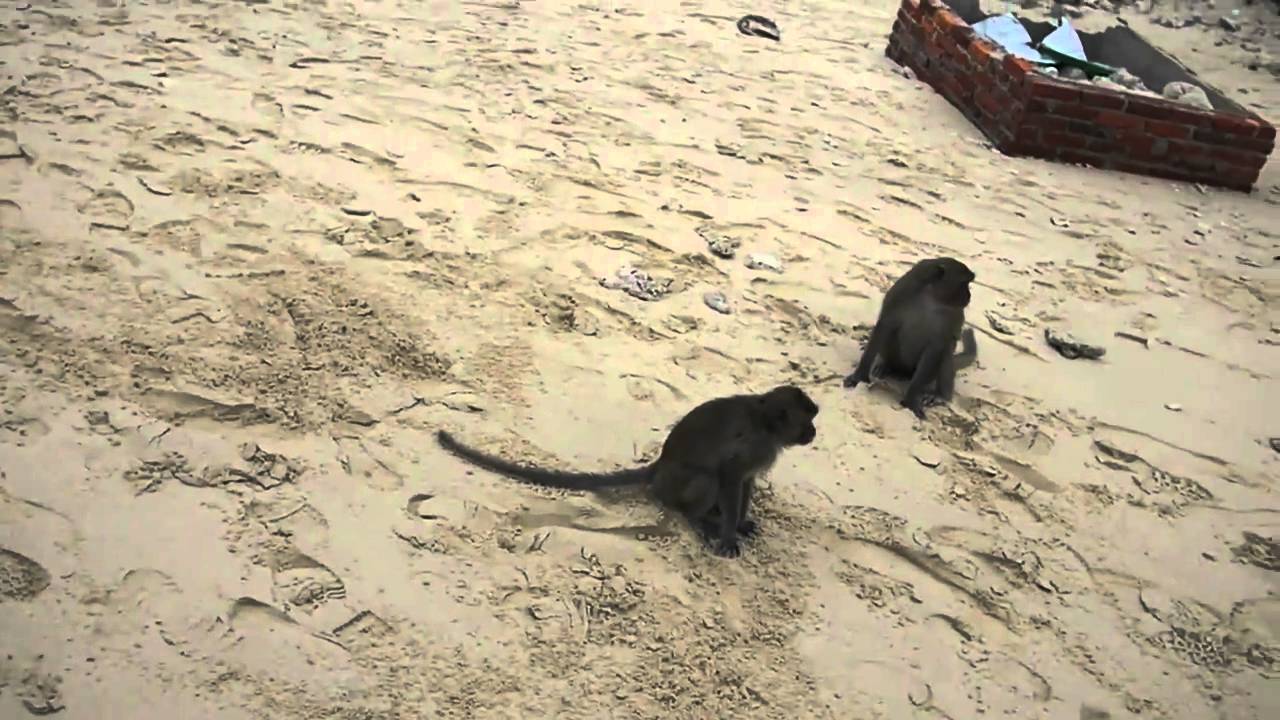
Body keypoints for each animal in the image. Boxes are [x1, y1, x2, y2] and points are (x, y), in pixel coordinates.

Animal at [435, 385, 818, 558]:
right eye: (808, 421)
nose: (814, 433)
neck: (767, 424)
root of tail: (658, 468)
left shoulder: (759, 455)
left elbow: (745, 482)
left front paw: (739, 523)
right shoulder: (752, 446)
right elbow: (728, 479)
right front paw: (726, 534)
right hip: (677, 485)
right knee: (705, 480)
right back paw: (697, 519)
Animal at [843, 257, 977, 420]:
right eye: (964, 283)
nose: (969, 296)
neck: (930, 297)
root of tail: (904, 372)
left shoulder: (951, 316)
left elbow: (937, 347)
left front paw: (911, 399)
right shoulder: (901, 293)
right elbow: (884, 327)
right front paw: (859, 376)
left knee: (946, 350)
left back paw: (940, 395)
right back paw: (884, 364)